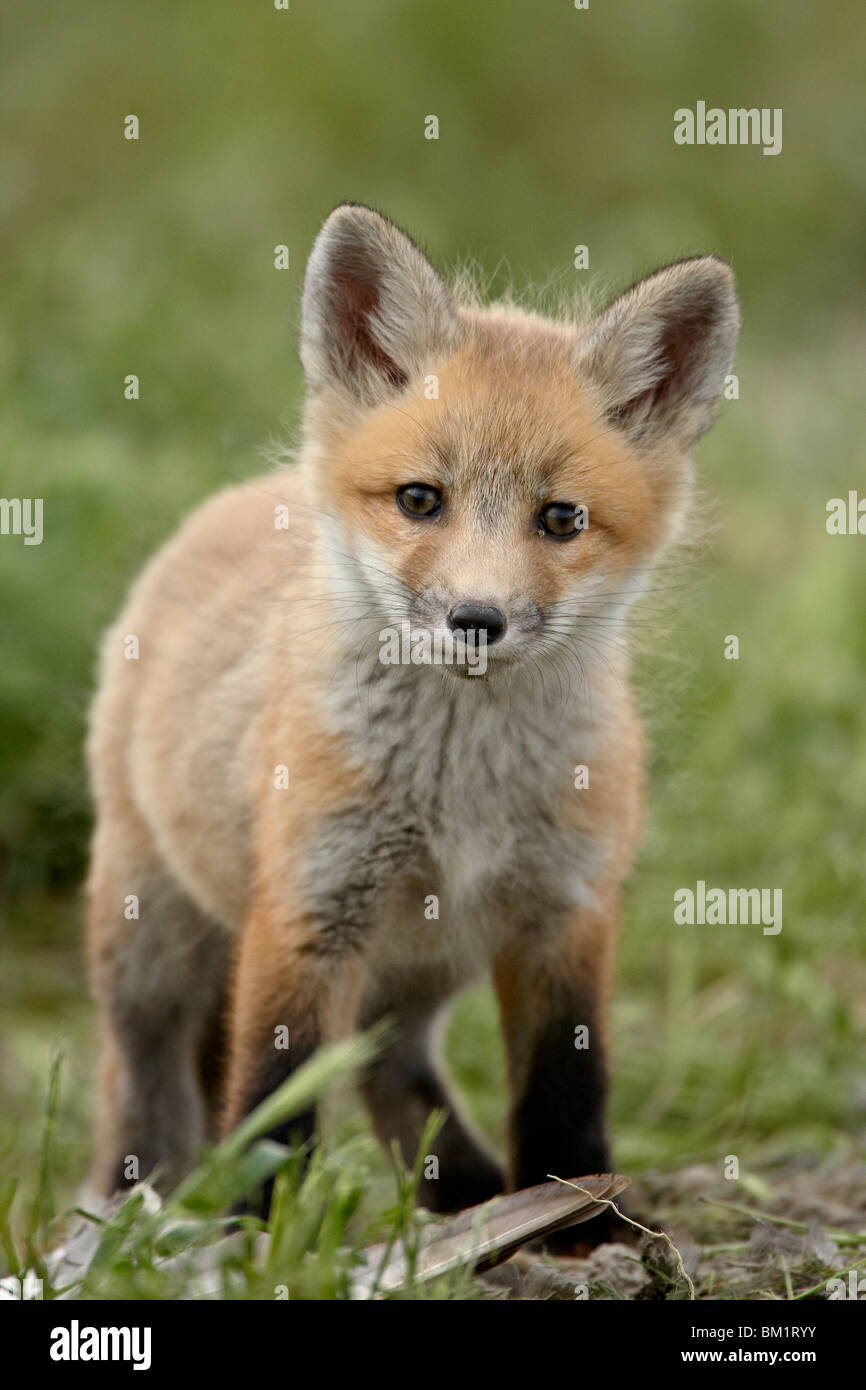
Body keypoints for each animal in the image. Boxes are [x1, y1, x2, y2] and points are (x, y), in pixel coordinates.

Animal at [85, 203, 739, 1248]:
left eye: (562, 519)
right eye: (421, 500)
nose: (478, 617)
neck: (459, 786)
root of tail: (232, 502)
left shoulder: (565, 909)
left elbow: (565, 1088)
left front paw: (580, 1224)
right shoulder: (307, 912)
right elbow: (269, 1104)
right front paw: (257, 1237)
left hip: (422, 970)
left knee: (391, 1070)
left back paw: (470, 1199)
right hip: (149, 943)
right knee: (142, 1081)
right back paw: (120, 1210)